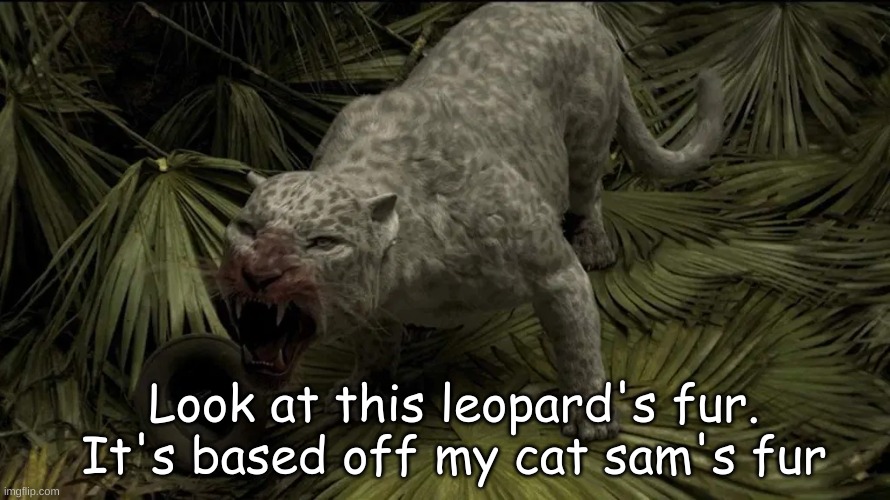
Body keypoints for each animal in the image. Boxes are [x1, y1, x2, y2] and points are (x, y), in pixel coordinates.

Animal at [216, 1, 724, 441]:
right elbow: (373, 341)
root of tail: (576, 8)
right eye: (248, 228)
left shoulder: (554, 270)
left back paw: (594, 242)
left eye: (323, 241)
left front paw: (592, 418)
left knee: (589, 190)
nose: (258, 274)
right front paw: (363, 389)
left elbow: (577, 339)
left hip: (588, 137)